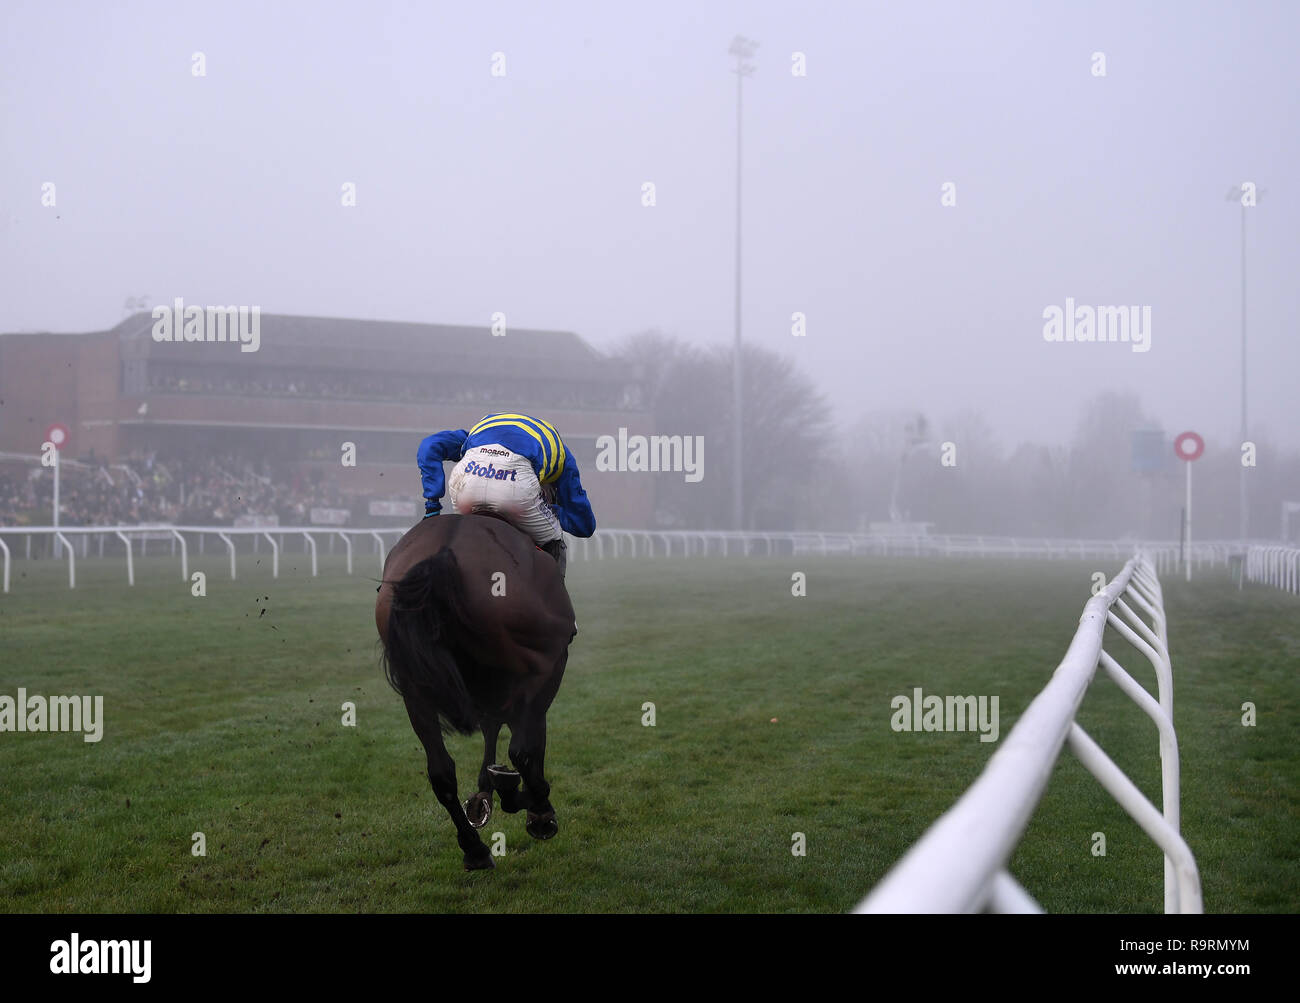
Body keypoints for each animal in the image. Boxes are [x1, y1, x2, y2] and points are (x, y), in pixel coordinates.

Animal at [375, 512, 576, 871]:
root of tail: (444, 551)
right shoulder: (547, 666)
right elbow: (527, 740)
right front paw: (534, 808)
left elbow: (491, 725)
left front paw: (485, 794)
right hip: (538, 661)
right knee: (520, 748)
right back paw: (528, 800)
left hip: (416, 688)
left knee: (441, 772)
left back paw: (475, 848)